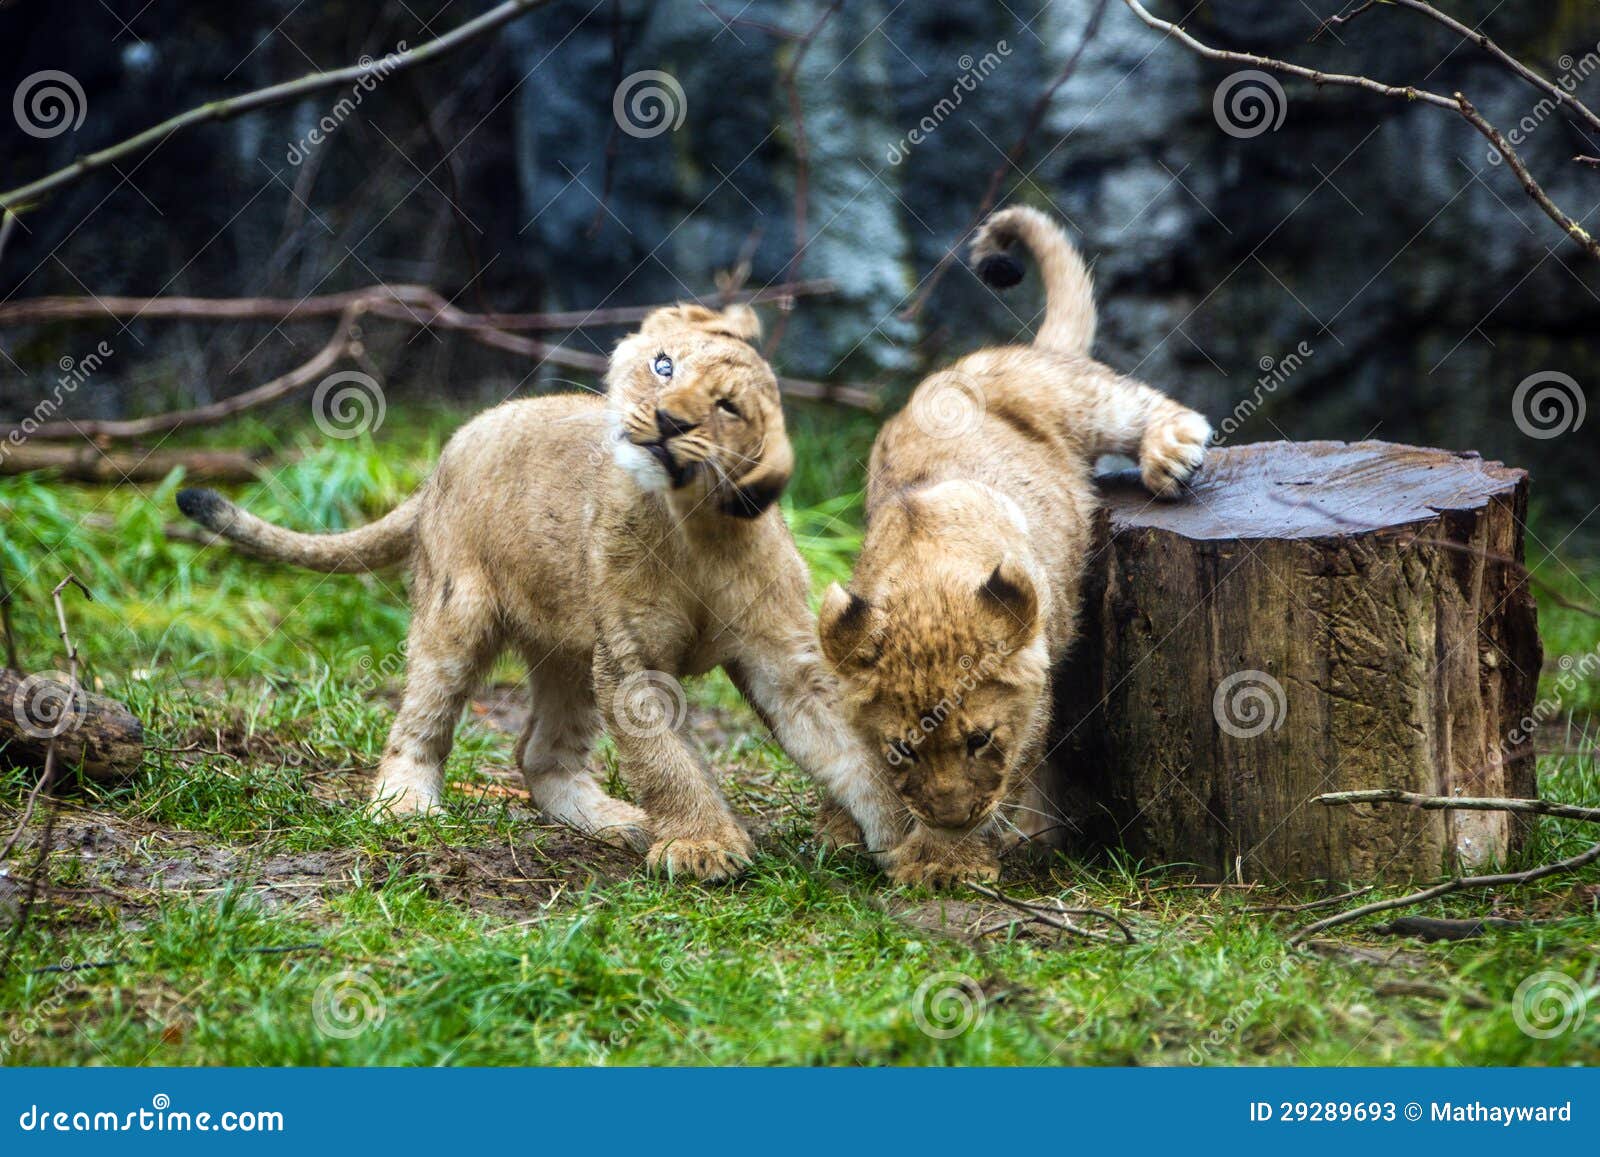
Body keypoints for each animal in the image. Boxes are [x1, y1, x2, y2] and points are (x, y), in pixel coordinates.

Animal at [177, 302, 907, 882]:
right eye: (664, 366)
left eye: (727, 407)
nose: (668, 420)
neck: (693, 527)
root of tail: (437, 465)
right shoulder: (632, 662)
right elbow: (667, 761)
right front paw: (702, 844)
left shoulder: (783, 659)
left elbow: (849, 750)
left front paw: (910, 842)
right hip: (458, 611)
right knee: (421, 719)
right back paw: (406, 804)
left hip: (568, 650)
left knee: (540, 753)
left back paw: (615, 819)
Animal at [816, 206, 1213, 882]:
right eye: (902, 748)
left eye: (979, 739)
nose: (952, 818)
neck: (927, 573)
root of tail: (1020, 350)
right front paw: (851, 829)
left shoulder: (1035, 693)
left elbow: (1012, 772)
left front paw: (945, 859)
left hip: (1076, 401)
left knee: (1142, 402)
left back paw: (1171, 453)